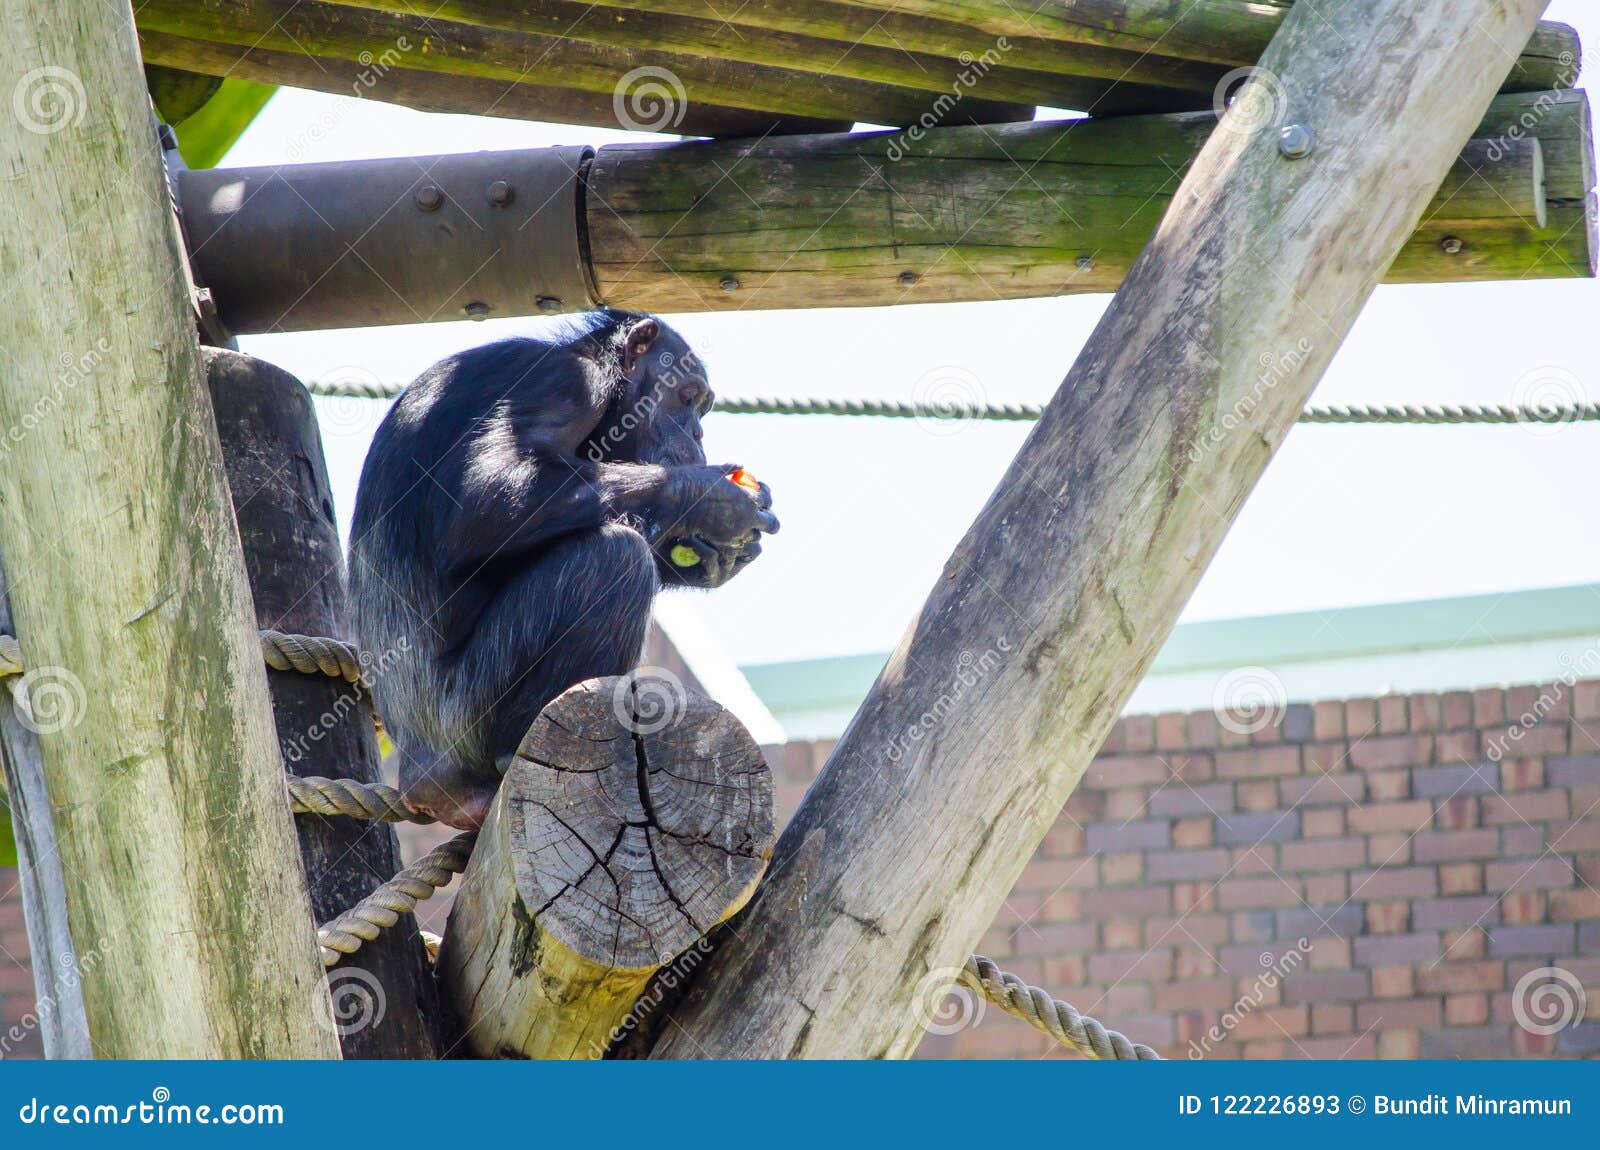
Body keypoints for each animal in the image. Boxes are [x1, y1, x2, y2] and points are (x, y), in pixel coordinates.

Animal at [348, 310, 778, 828]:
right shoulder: (566, 383)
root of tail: (419, 778)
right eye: (687, 396)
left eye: (703, 406)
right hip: (465, 717)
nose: (697, 434)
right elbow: (489, 495)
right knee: (614, 558)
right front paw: (712, 500)